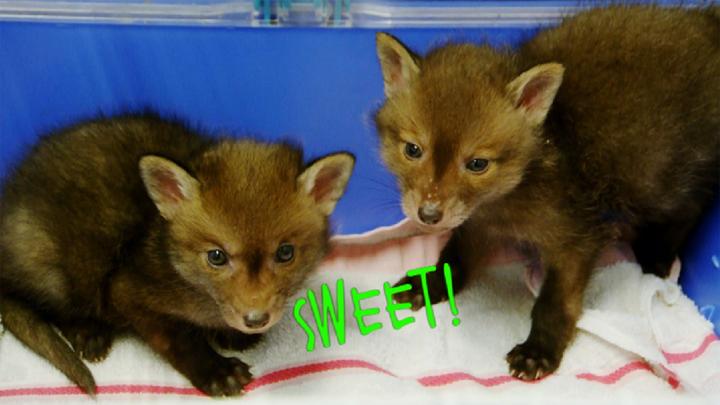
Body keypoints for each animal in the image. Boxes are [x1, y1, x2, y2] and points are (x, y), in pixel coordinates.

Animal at [0, 112, 354, 396]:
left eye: (285, 253)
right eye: (216, 256)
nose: (255, 320)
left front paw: (230, 336)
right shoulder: (126, 292)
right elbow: (182, 339)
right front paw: (217, 371)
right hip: (62, 274)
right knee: (51, 307)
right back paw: (88, 333)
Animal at [373, 6, 720, 380]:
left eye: (477, 164)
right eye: (412, 150)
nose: (428, 215)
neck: (508, 196)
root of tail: (706, 19)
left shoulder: (576, 239)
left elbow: (554, 302)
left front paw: (539, 350)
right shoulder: (479, 224)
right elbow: (453, 258)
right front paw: (430, 285)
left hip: (658, 178)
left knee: (691, 206)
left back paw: (656, 257)